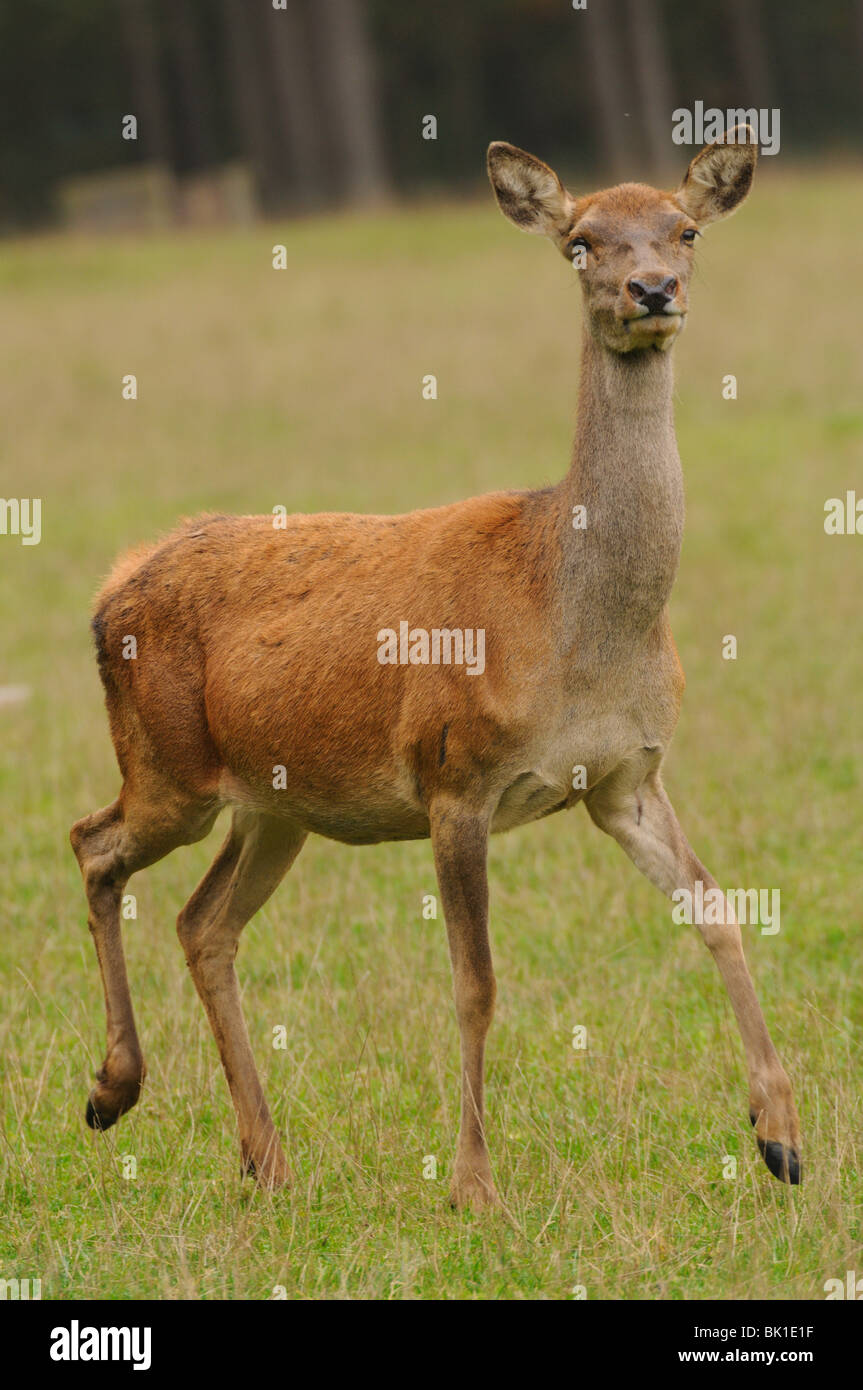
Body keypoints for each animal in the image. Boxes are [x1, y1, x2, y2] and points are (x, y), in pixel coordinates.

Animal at [70, 124, 801, 1212]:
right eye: (580, 242)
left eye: (684, 230)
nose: (652, 290)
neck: (582, 627)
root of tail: (111, 583)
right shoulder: (455, 776)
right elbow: (475, 982)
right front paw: (471, 1185)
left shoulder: (626, 776)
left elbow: (718, 911)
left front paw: (779, 1135)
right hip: (167, 765)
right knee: (93, 842)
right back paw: (114, 1089)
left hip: (272, 805)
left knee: (203, 923)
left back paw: (265, 1156)